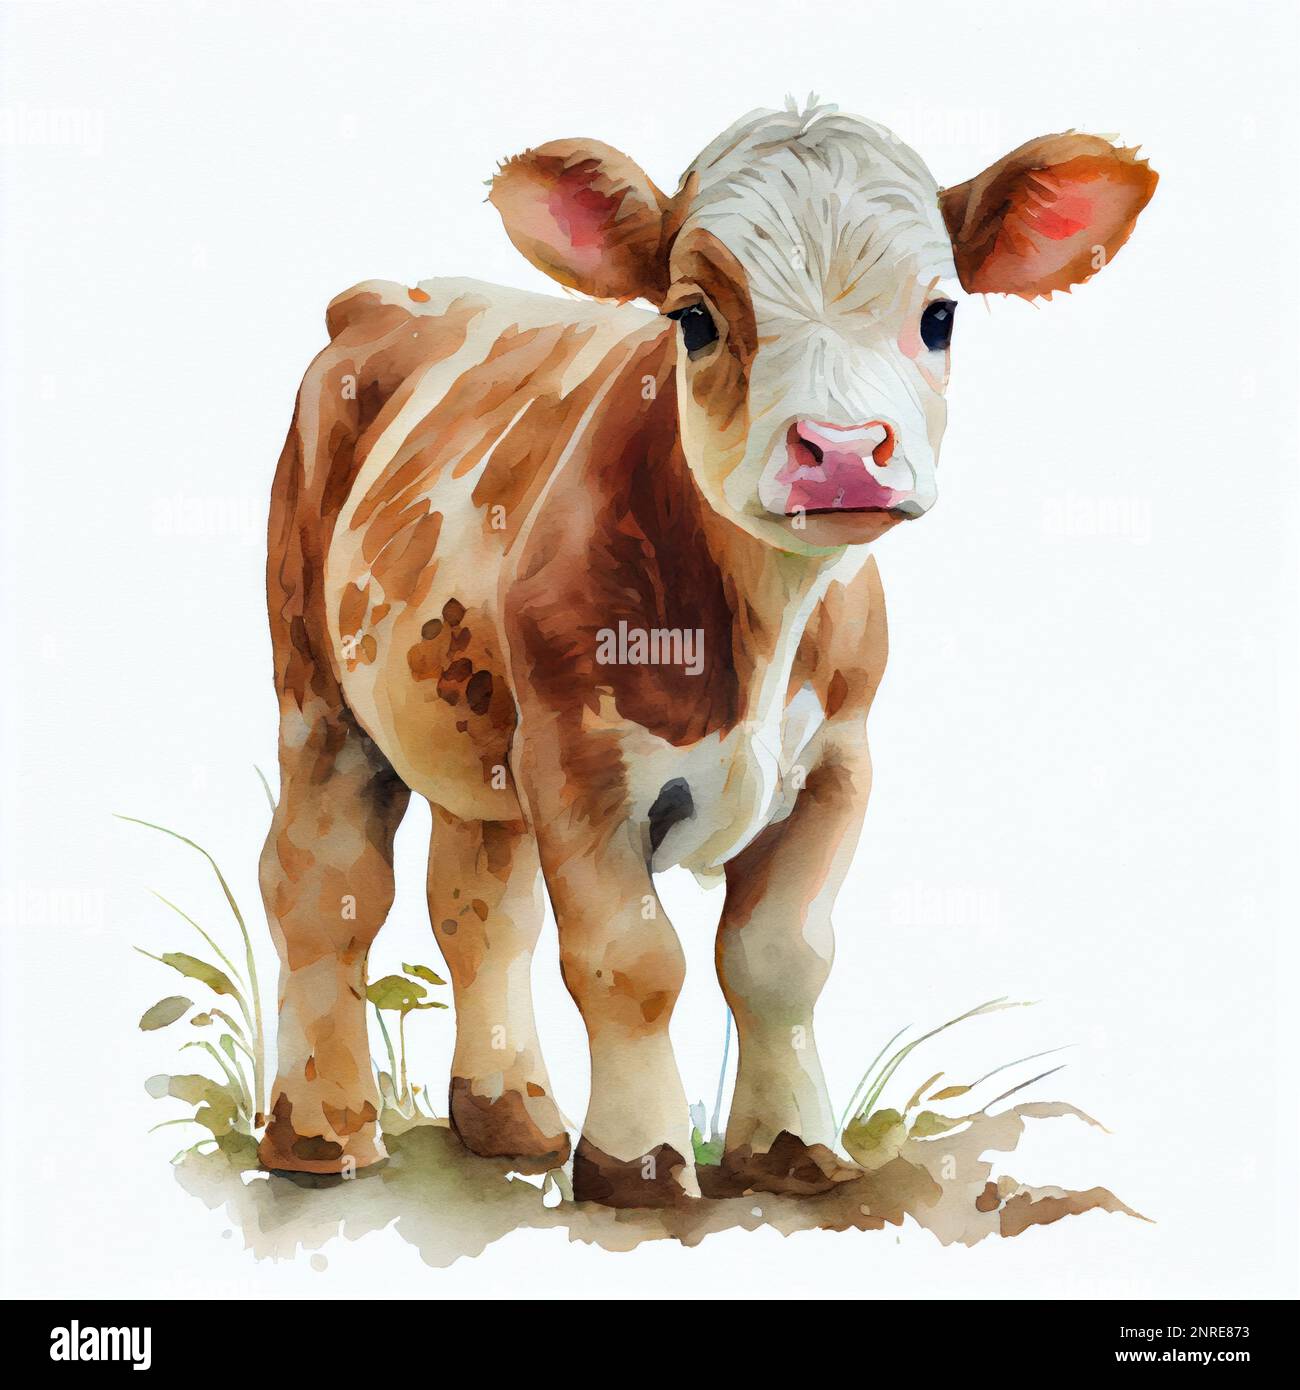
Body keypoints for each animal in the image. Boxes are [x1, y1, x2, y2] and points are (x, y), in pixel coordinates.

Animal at [259, 102, 1156, 1206]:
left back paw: (511, 1116)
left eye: (940, 314)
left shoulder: (838, 761)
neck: (758, 627)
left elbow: (779, 957)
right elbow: (632, 961)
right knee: (322, 886)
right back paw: (321, 1134)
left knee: (478, 906)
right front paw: (638, 1165)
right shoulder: (577, 761)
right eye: (693, 317)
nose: (843, 450)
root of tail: (386, 295)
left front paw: (791, 1148)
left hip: (476, 738)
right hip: (317, 691)